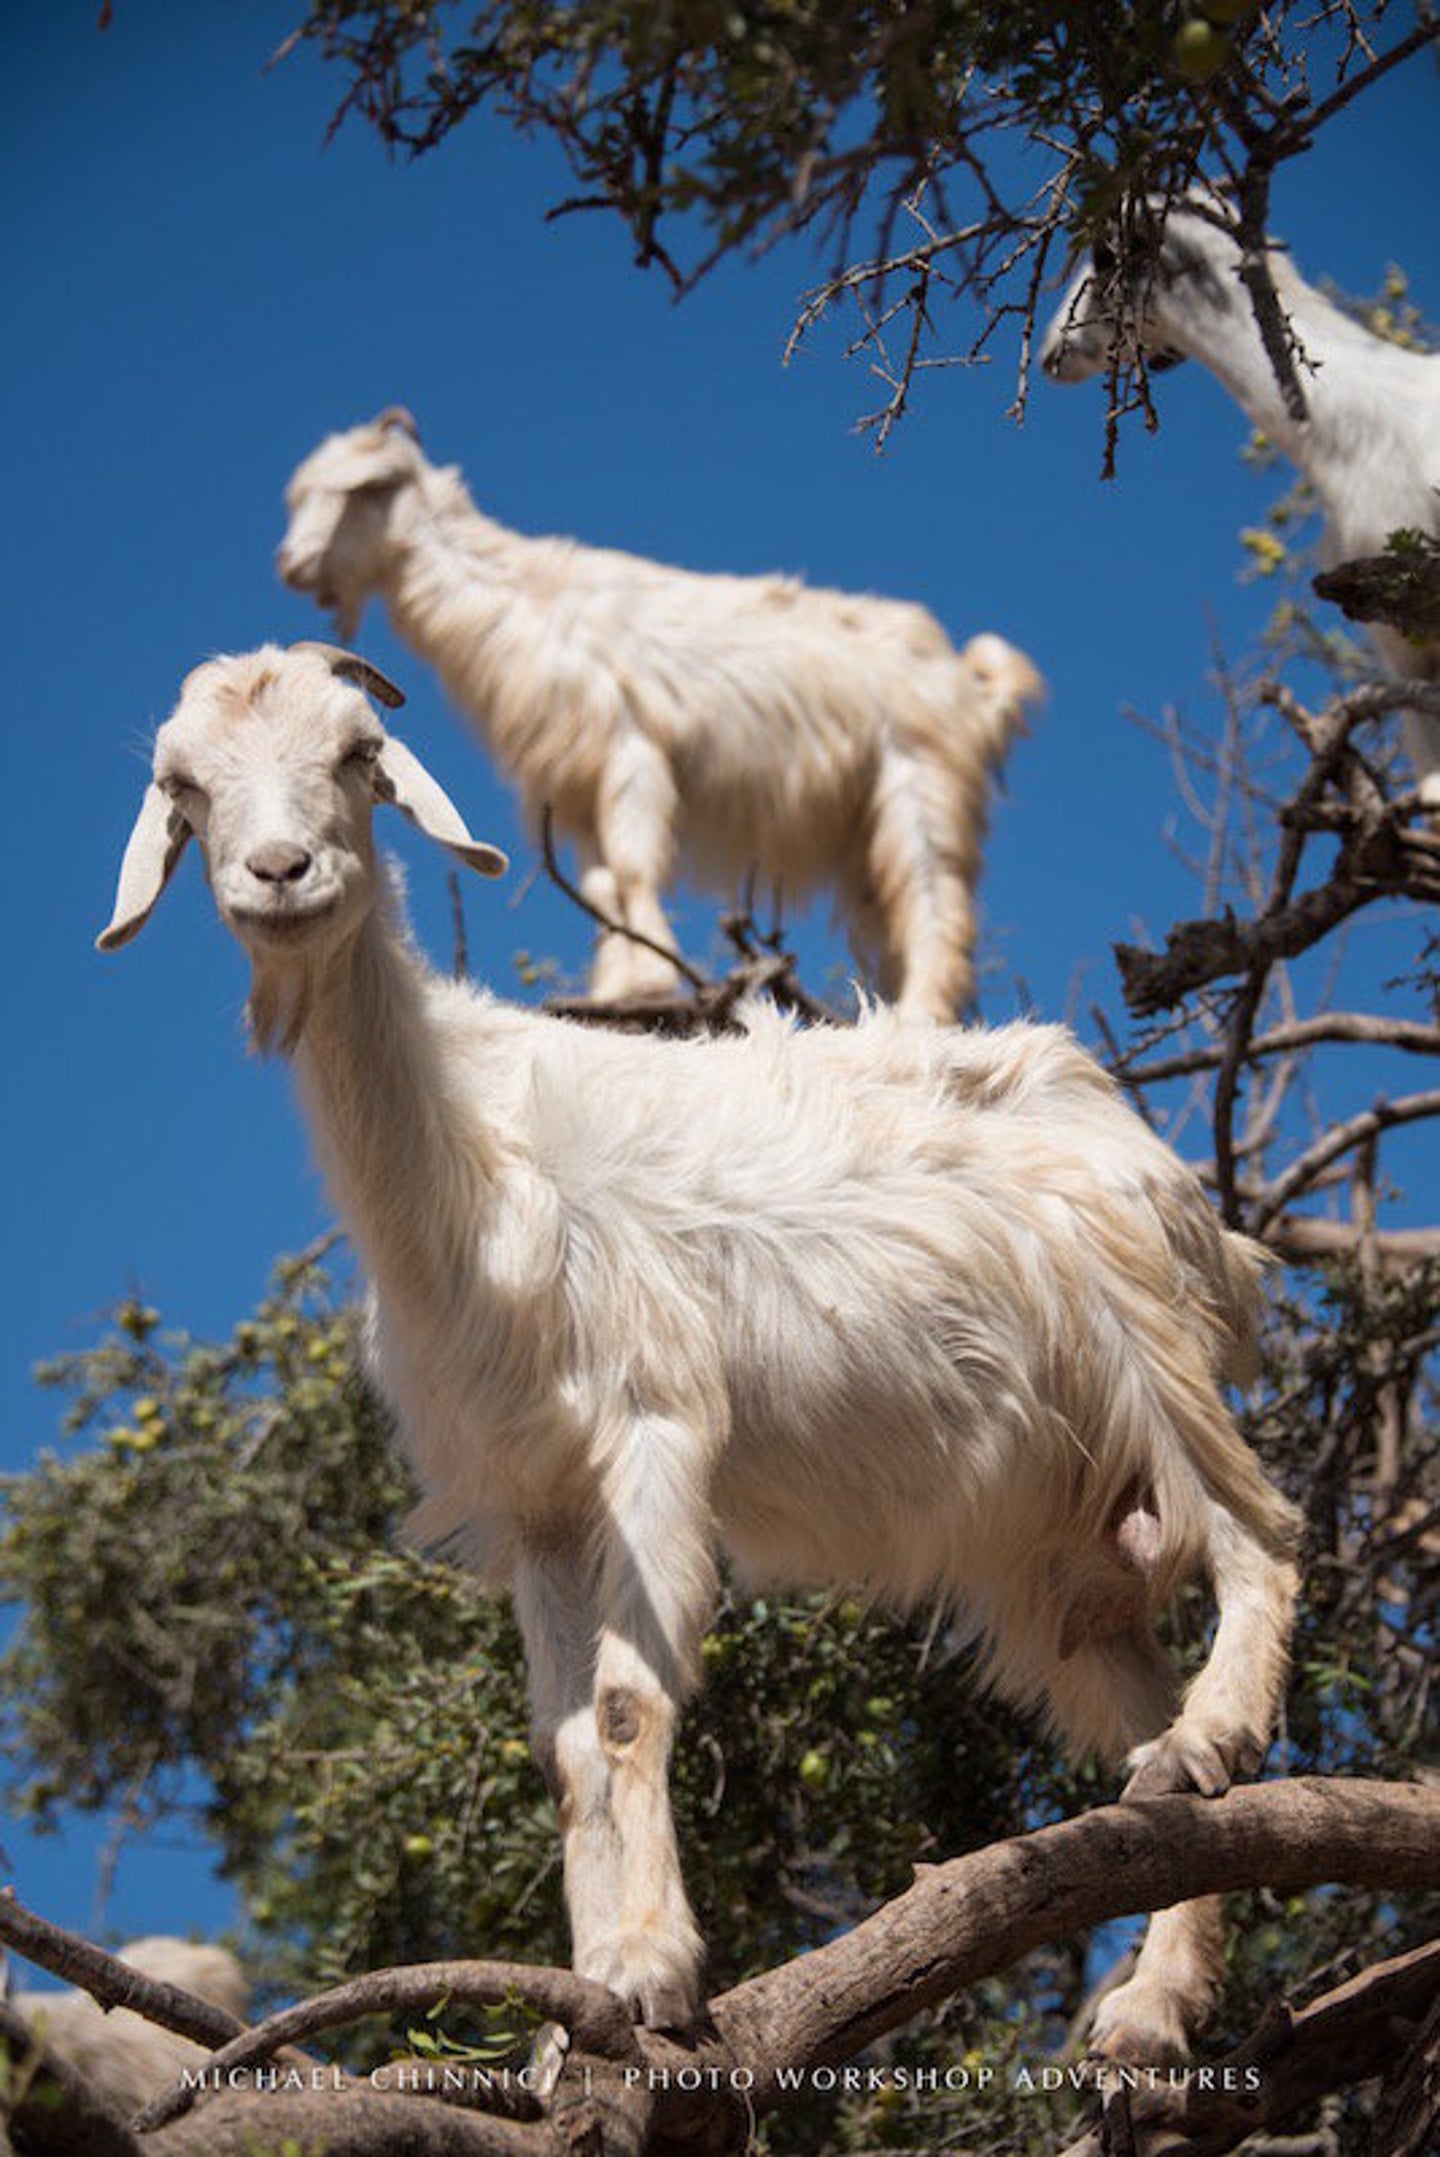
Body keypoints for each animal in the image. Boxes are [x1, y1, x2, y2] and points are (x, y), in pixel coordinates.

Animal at [99, 642, 1299, 2064]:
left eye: (356, 755)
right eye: (185, 787)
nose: (280, 874)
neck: (477, 1166)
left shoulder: (653, 1432)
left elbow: (630, 1707)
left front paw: (657, 1974)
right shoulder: (537, 1503)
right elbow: (569, 1749)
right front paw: (581, 2009)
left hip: (1145, 1337)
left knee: (1258, 1532)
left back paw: (1214, 1741)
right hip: (1052, 1553)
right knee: (1140, 1701)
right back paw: (1156, 1999)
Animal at [277, 410, 1042, 1019]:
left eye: (359, 490)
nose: (291, 563)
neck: (538, 601)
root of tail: (979, 686)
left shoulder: (630, 749)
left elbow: (637, 865)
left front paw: (647, 981)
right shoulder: (574, 792)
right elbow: (603, 884)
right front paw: (615, 988)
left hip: (926, 790)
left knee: (937, 908)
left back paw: (920, 1019)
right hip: (865, 838)